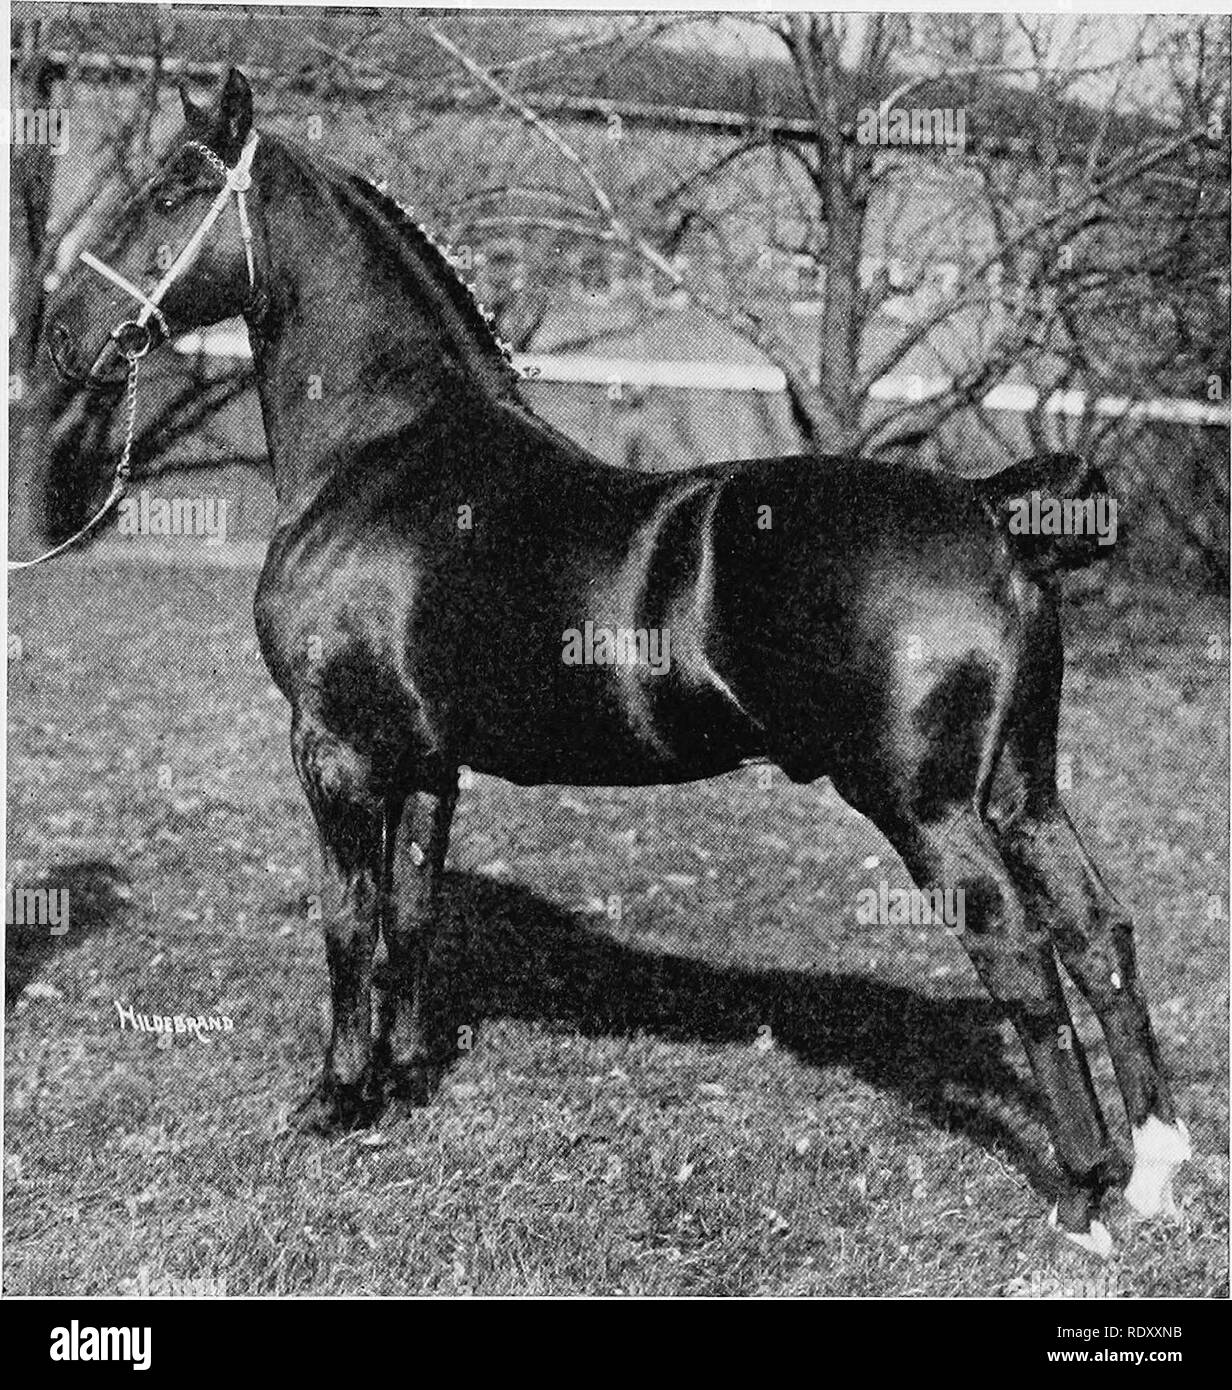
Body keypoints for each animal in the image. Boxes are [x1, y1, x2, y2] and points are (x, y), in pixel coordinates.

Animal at [41, 68, 1190, 1256]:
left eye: (172, 193)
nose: (64, 335)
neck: (387, 455)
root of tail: (991, 510)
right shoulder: (426, 764)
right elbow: (412, 914)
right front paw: (399, 1087)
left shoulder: (338, 754)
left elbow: (349, 921)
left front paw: (332, 1101)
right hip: (1022, 790)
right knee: (1097, 932)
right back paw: (1152, 1166)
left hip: (930, 809)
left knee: (1019, 951)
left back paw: (1082, 1191)